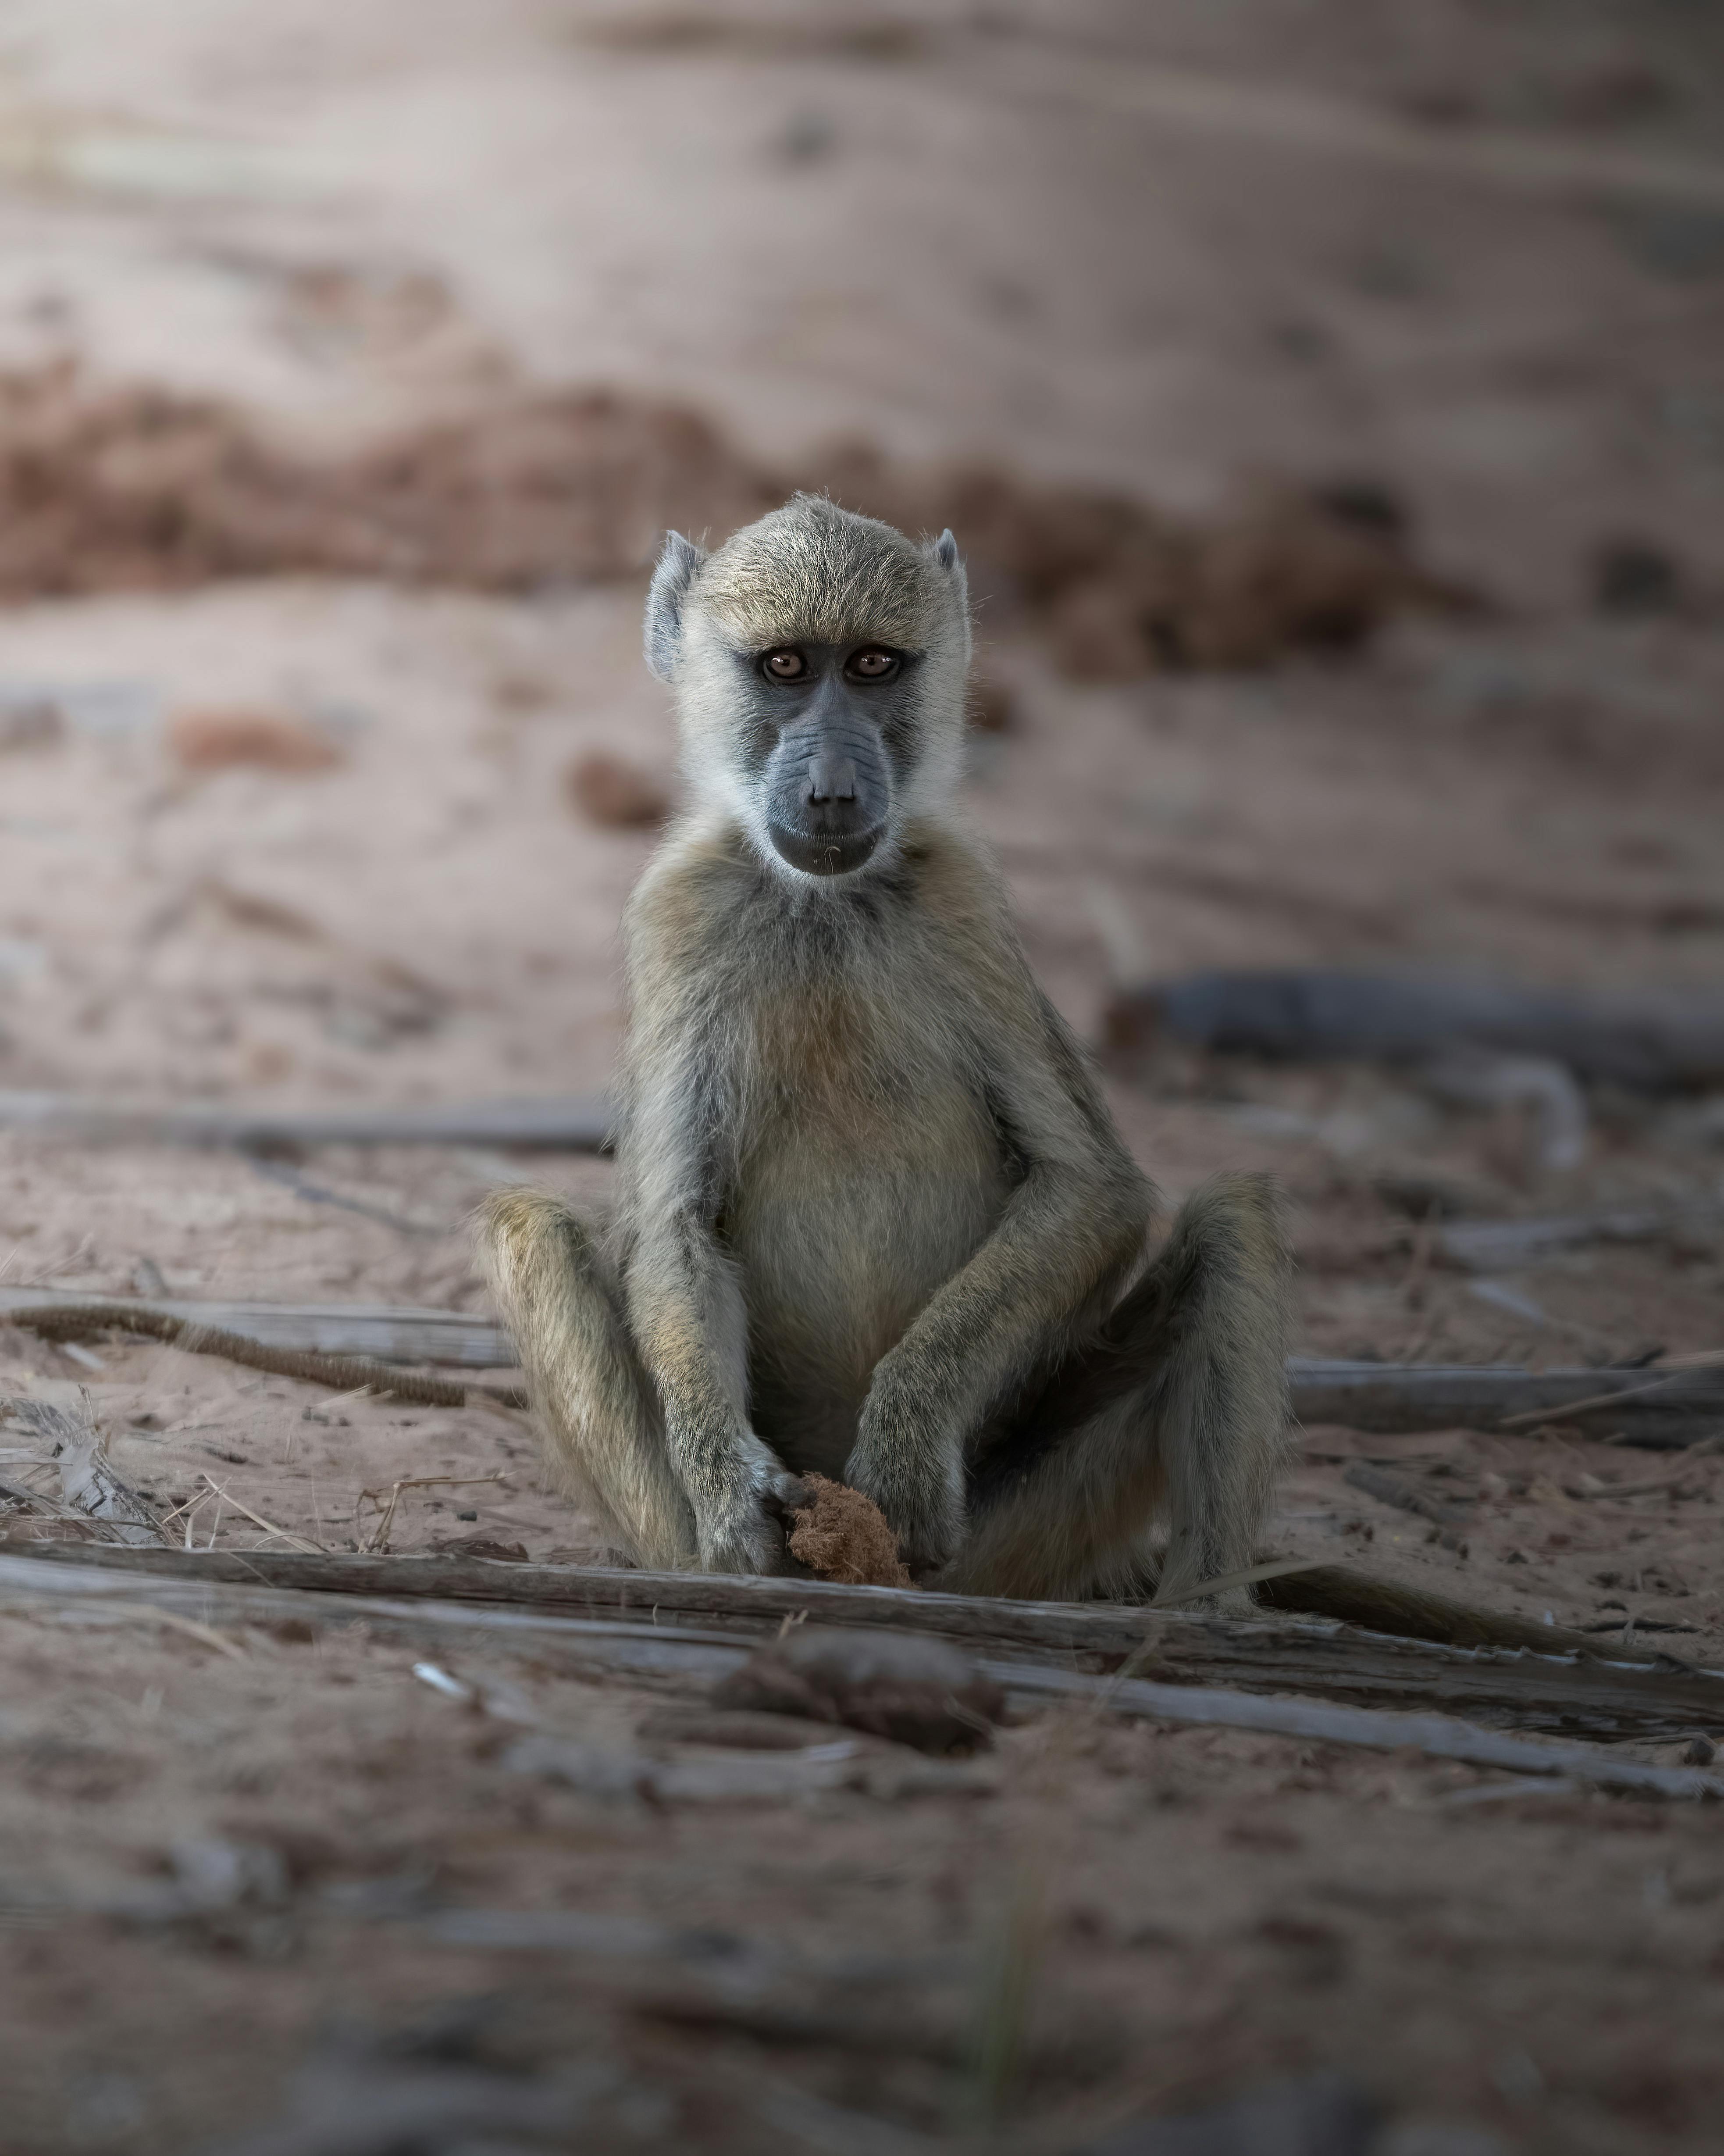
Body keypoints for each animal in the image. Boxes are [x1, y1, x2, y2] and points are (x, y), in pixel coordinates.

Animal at [481, 493, 1293, 1604]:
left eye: (872, 665)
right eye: (785, 667)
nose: (830, 791)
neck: (824, 903)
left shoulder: (963, 903)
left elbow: (1088, 1186)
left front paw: (907, 1436)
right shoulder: (679, 915)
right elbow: (674, 1221)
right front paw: (728, 1490)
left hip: (1002, 1541)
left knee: (1230, 1228)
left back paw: (1207, 1612)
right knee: (531, 1233)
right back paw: (717, 1574)